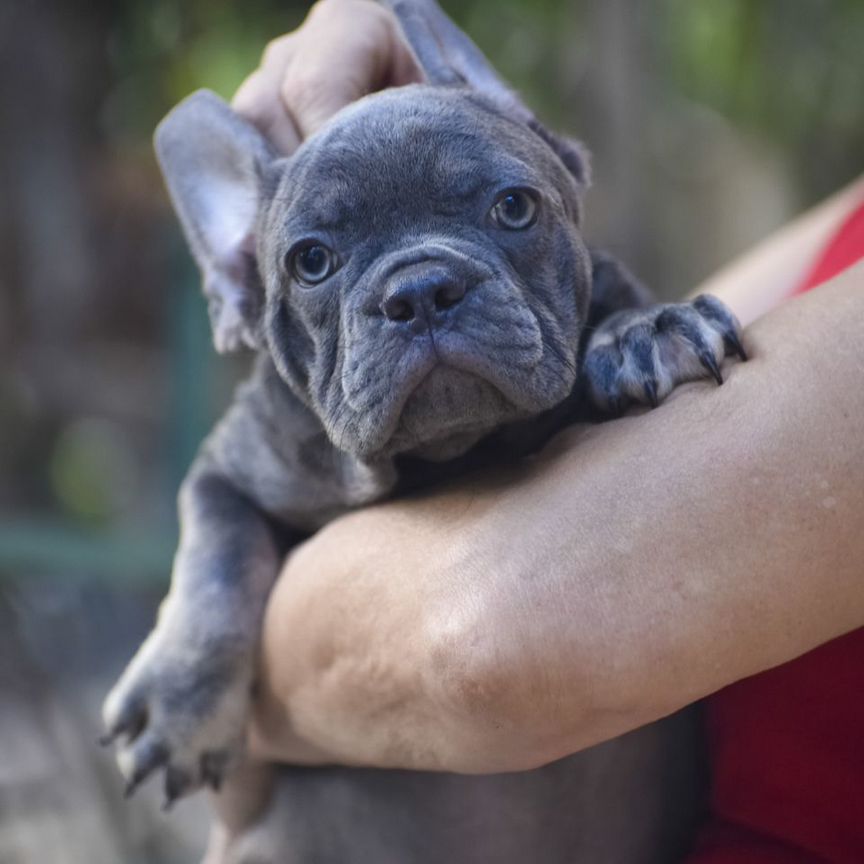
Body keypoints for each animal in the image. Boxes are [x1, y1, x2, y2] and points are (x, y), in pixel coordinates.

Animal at [103, 3, 744, 860]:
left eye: (514, 208)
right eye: (311, 262)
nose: (419, 290)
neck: (448, 455)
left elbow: (620, 304)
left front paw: (648, 329)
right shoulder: (228, 468)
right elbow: (216, 556)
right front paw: (180, 702)